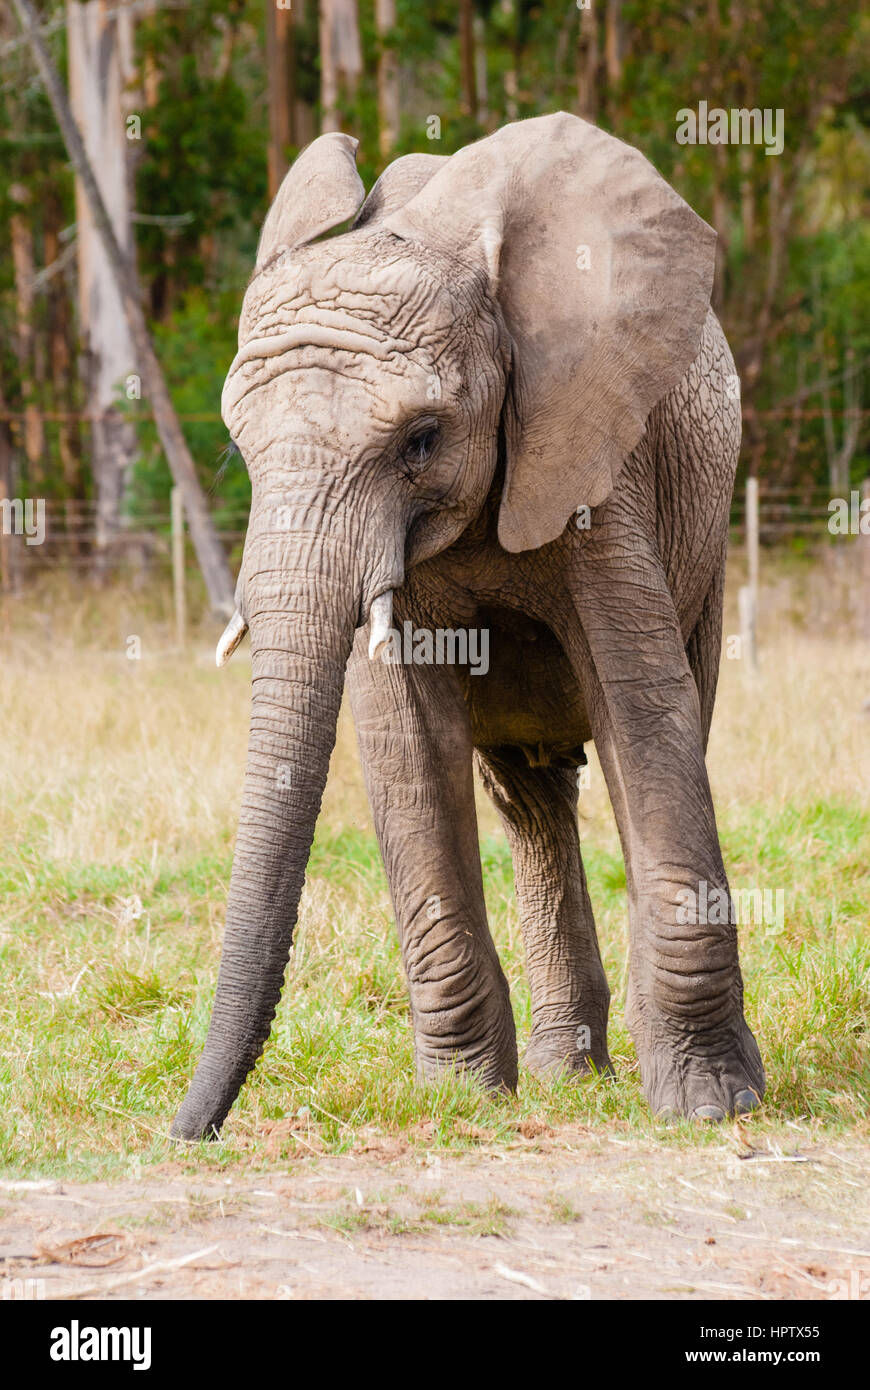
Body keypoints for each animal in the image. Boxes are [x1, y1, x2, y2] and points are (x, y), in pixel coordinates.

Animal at [171, 112, 765, 1141]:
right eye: (241, 450)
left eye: (420, 441)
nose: (181, 1133)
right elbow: (408, 742)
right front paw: (461, 1099)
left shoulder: (598, 457)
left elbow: (645, 711)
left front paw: (714, 1108)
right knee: (530, 799)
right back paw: (569, 1073)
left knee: (668, 720)